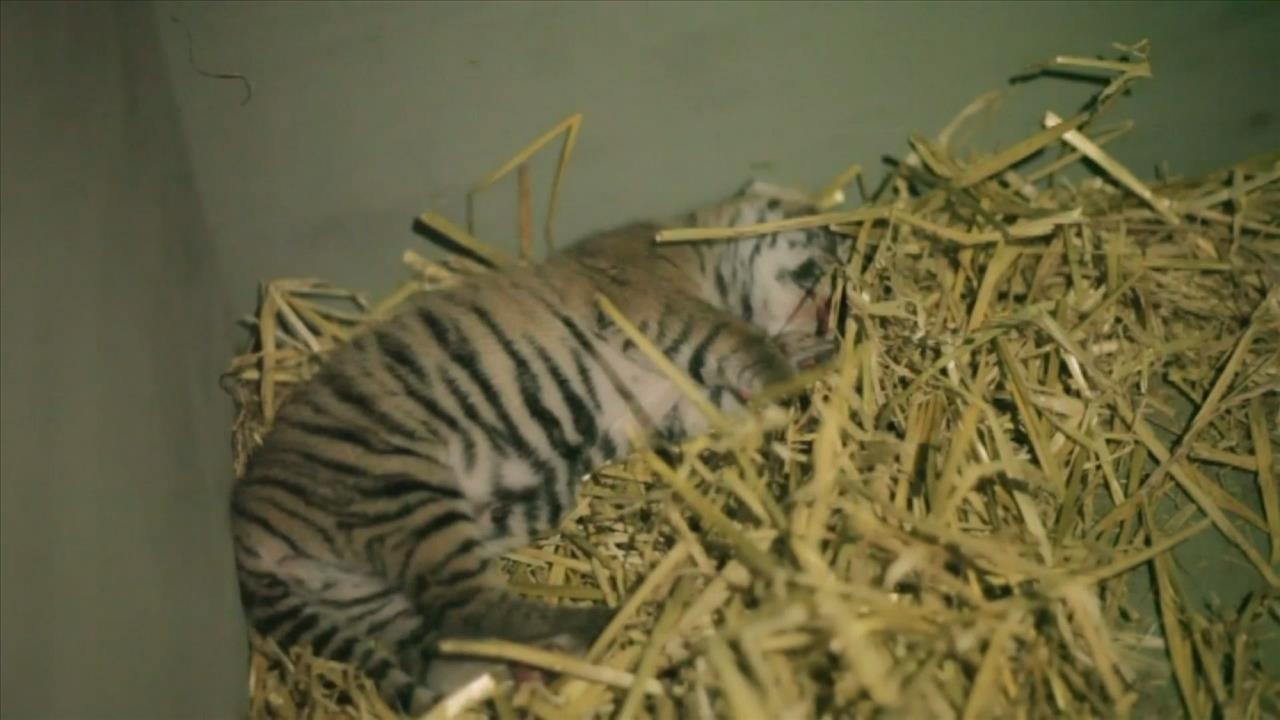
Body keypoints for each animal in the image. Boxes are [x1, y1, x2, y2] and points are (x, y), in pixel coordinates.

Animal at [230, 180, 848, 714]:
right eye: (825, 236)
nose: (844, 255)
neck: (698, 241)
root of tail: (246, 531)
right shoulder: (659, 307)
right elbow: (740, 340)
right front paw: (790, 379)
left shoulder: (681, 401)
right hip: (402, 488)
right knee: (472, 607)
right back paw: (599, 626)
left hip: (372, 596)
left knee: (446, 642)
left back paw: (528, 670)